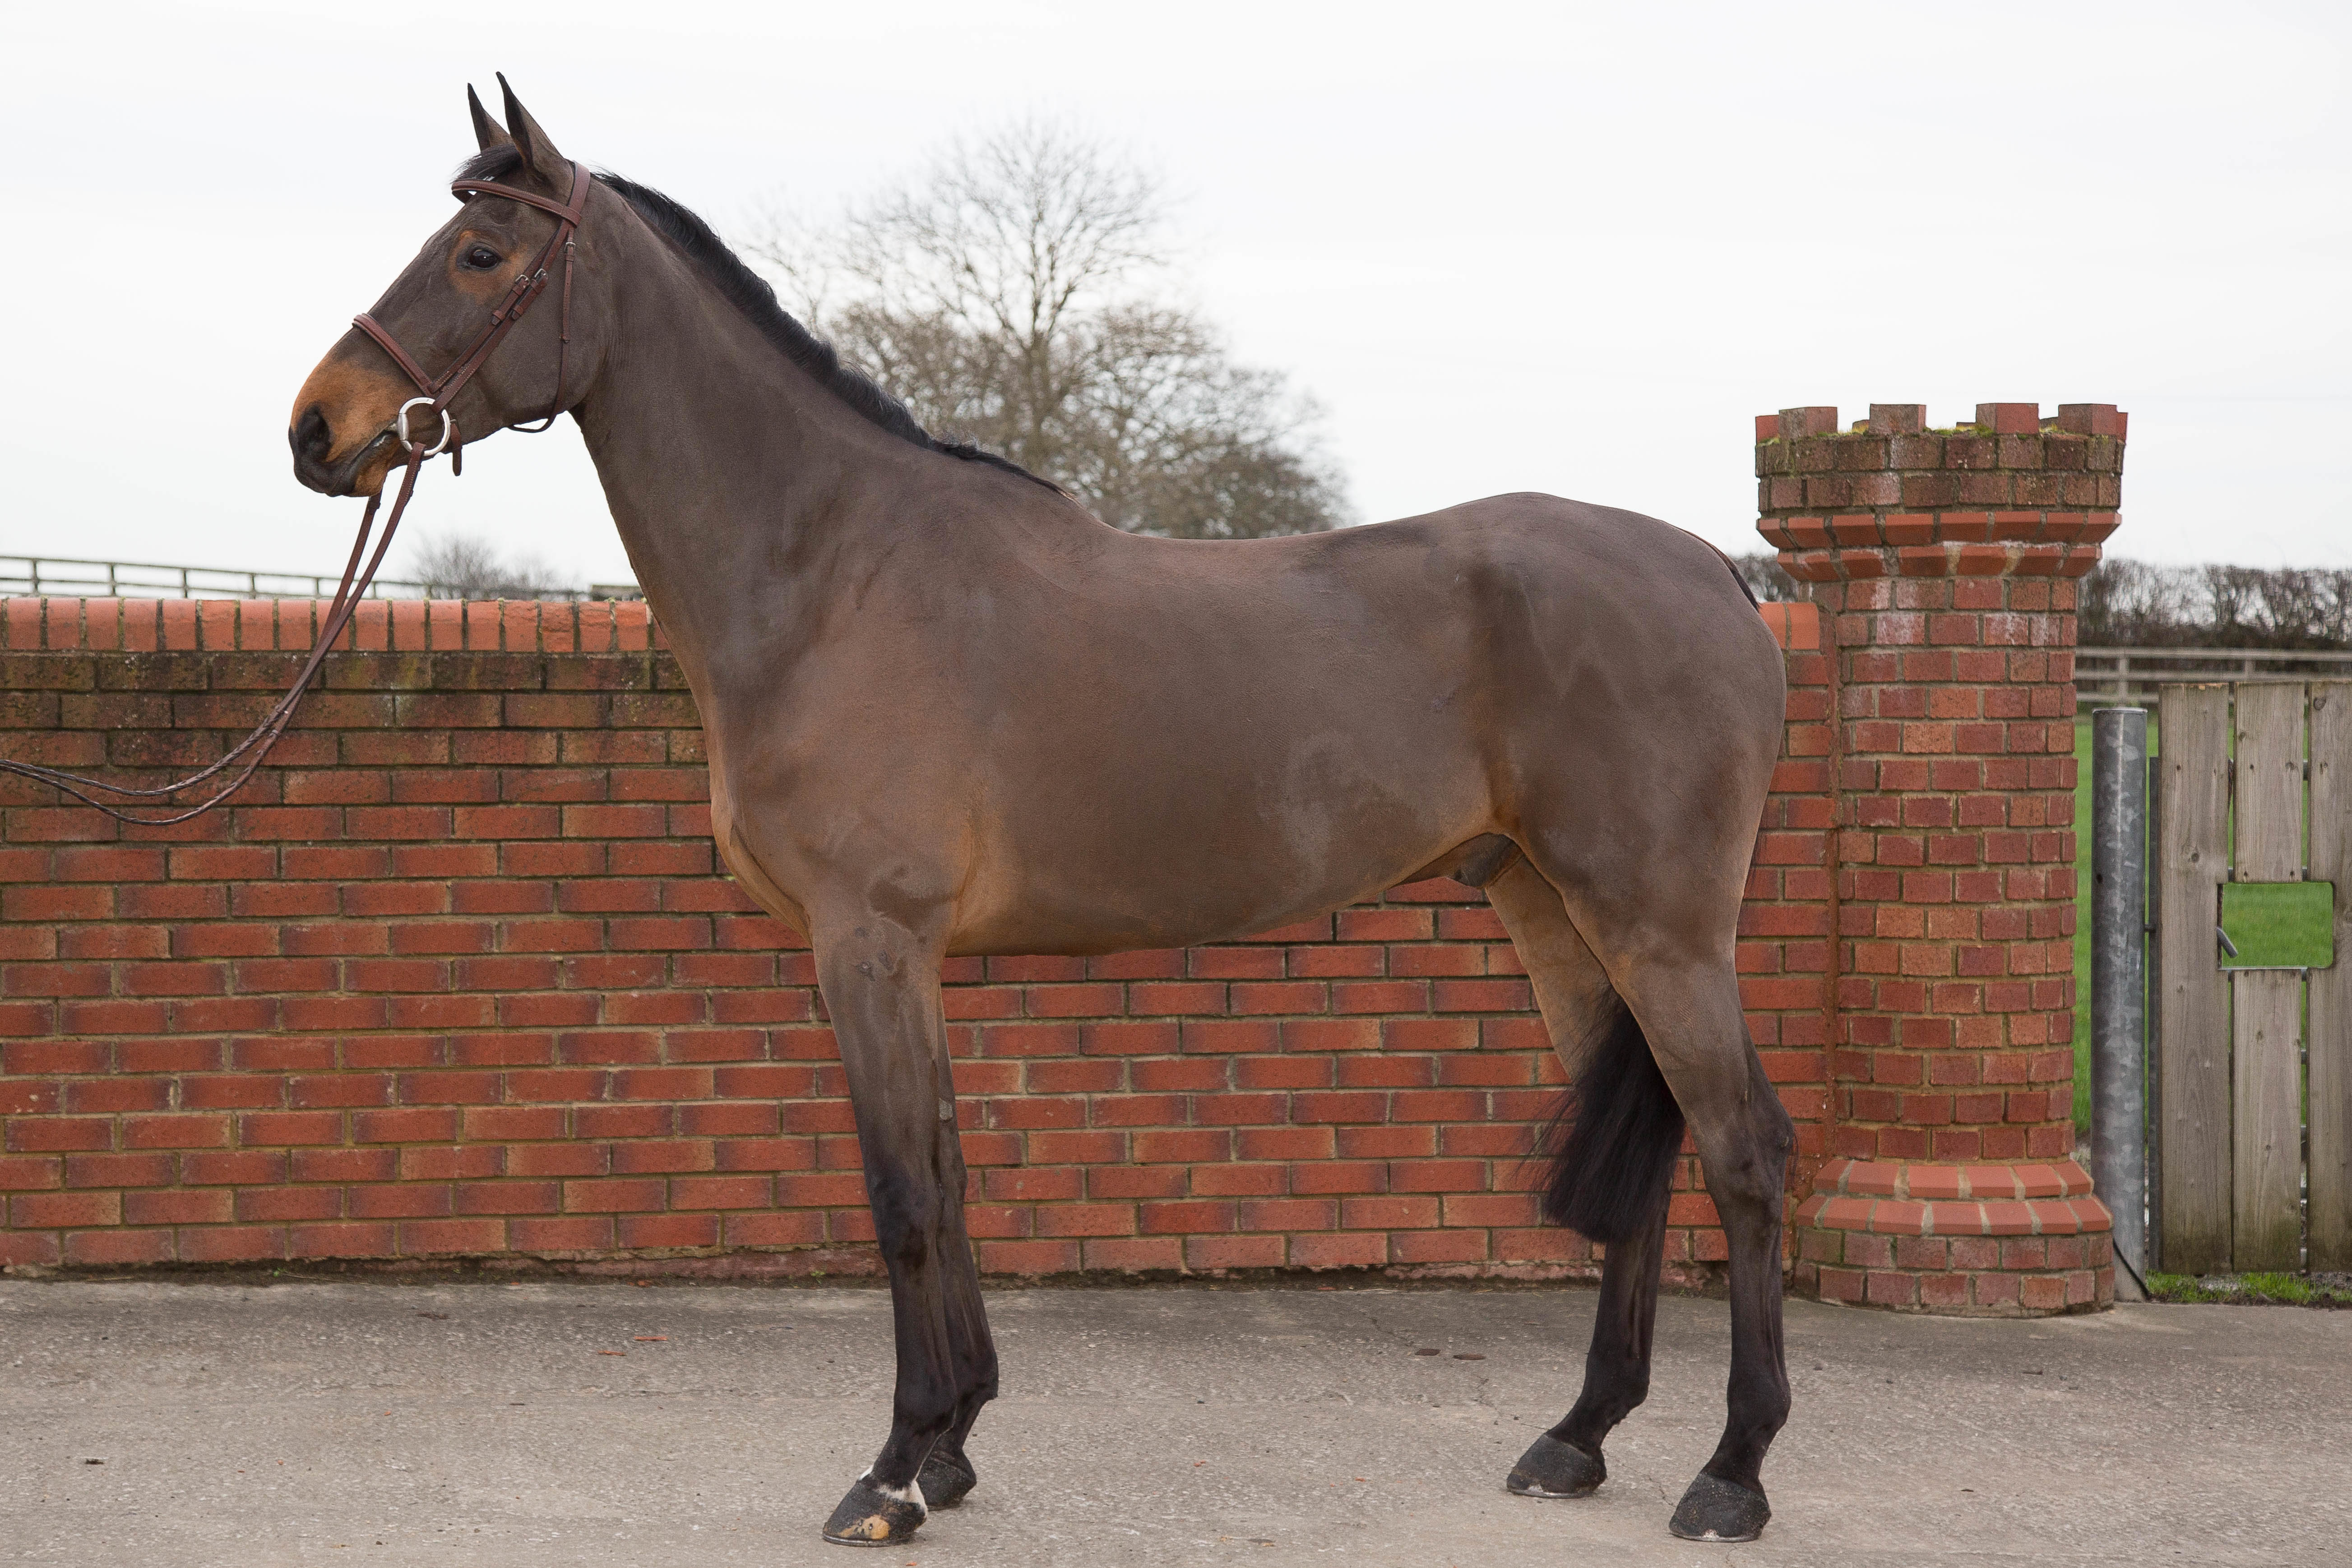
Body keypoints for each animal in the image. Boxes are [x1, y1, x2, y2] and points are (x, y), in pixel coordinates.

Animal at [287, 79, 1795, 1549]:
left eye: (481, 255)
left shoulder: (868, 939)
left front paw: (892, 1471)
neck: (836, 572)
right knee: (1654, 1156)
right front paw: (952, 1445)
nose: (316, 427)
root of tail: (1721, 578)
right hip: (1551, 912)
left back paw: (1730, 1474)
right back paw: (1575, 1440)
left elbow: (900, 1194)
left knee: (1742, 1153)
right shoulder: (905, 956)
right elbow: (949, 1177)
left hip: (1659, 927)